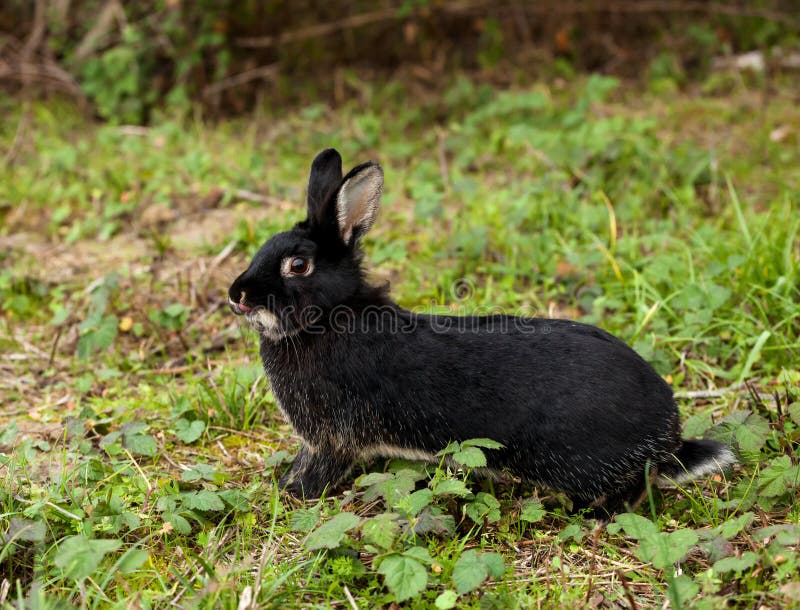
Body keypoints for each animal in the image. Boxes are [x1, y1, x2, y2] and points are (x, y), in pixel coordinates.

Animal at [228, 148, 736, 516]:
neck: (329, 316)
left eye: (298, 265)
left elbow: (319, 470)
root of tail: (668, 435)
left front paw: (290, 493)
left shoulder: (331, 436)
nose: (238, 295)